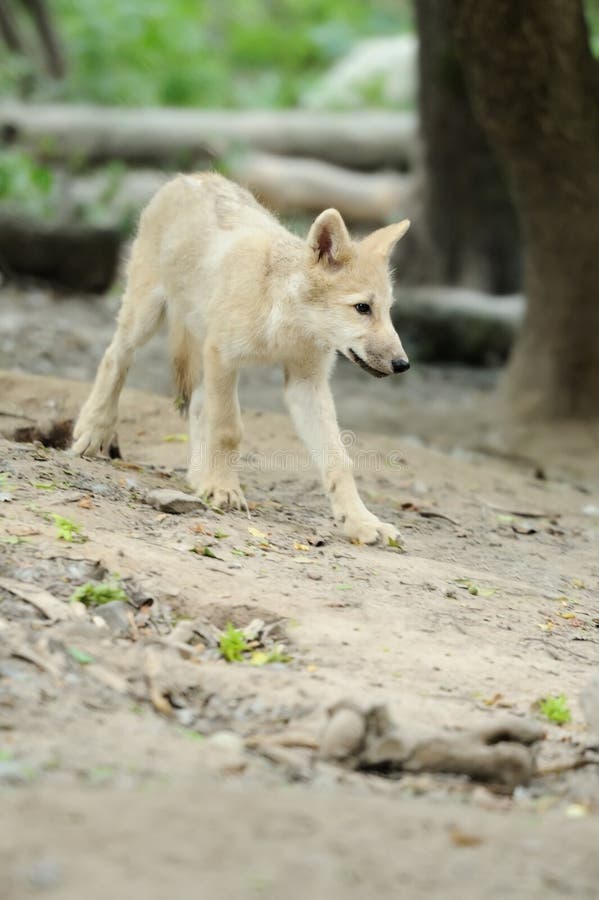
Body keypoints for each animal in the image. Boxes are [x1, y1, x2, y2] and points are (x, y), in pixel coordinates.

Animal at [72, 173, 411, 544]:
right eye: (362, 308)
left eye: (388, 311)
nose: (403, 364)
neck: (283, 319)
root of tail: (190, 177)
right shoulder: (223, 357)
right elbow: (228, 430)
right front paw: (224, 489)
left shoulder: (306, 384)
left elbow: (338, 458)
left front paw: (361, 522)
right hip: (146, 319)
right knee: (114, 358)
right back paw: (94, 430)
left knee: (197, 404)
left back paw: (199, 477)